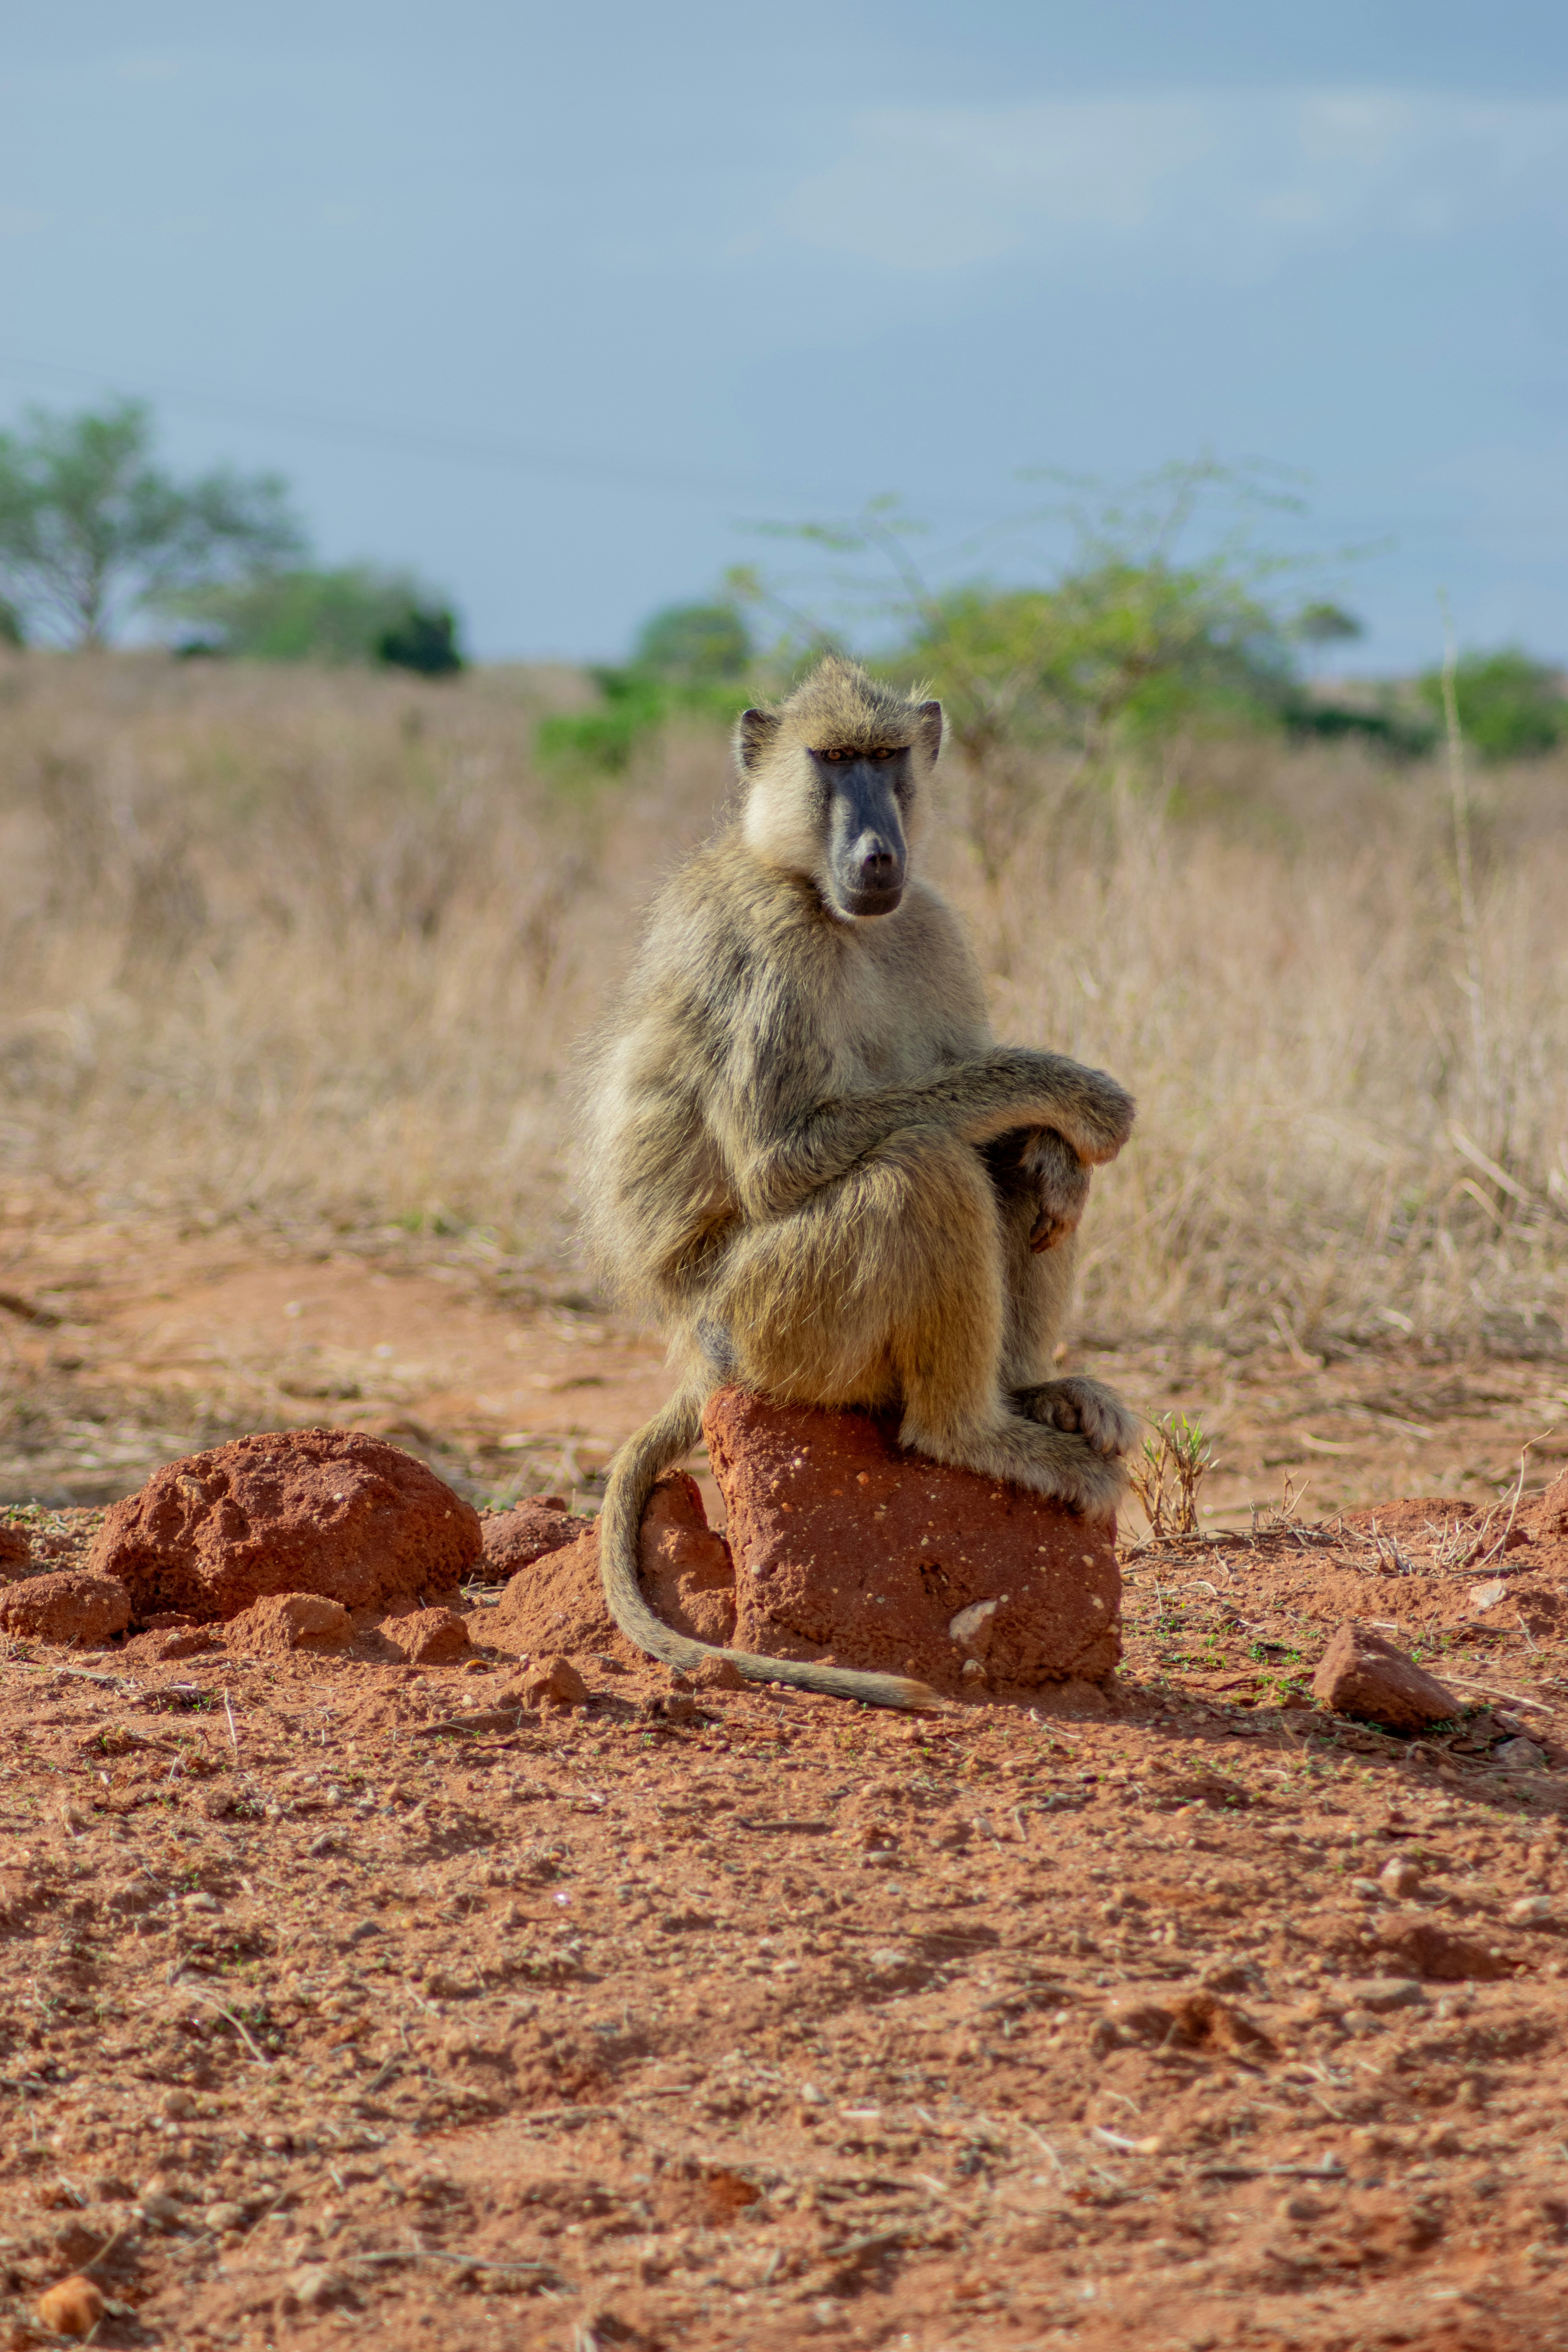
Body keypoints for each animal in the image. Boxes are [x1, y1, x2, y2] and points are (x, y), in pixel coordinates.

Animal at [581, 656, 1138, 1709]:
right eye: (832, 763)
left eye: (885, 759)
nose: (879, 857)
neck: (812, 893)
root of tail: (701, 1361)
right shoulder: (765, 945)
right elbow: (779, 1157)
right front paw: (1073, 1093)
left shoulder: (932, 924)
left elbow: (1013, 1135)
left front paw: (1055, 1144)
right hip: (772, 1332)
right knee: (922, 1165)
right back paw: (974, 1434)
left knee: (1000, 1170)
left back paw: (1034, 1389)